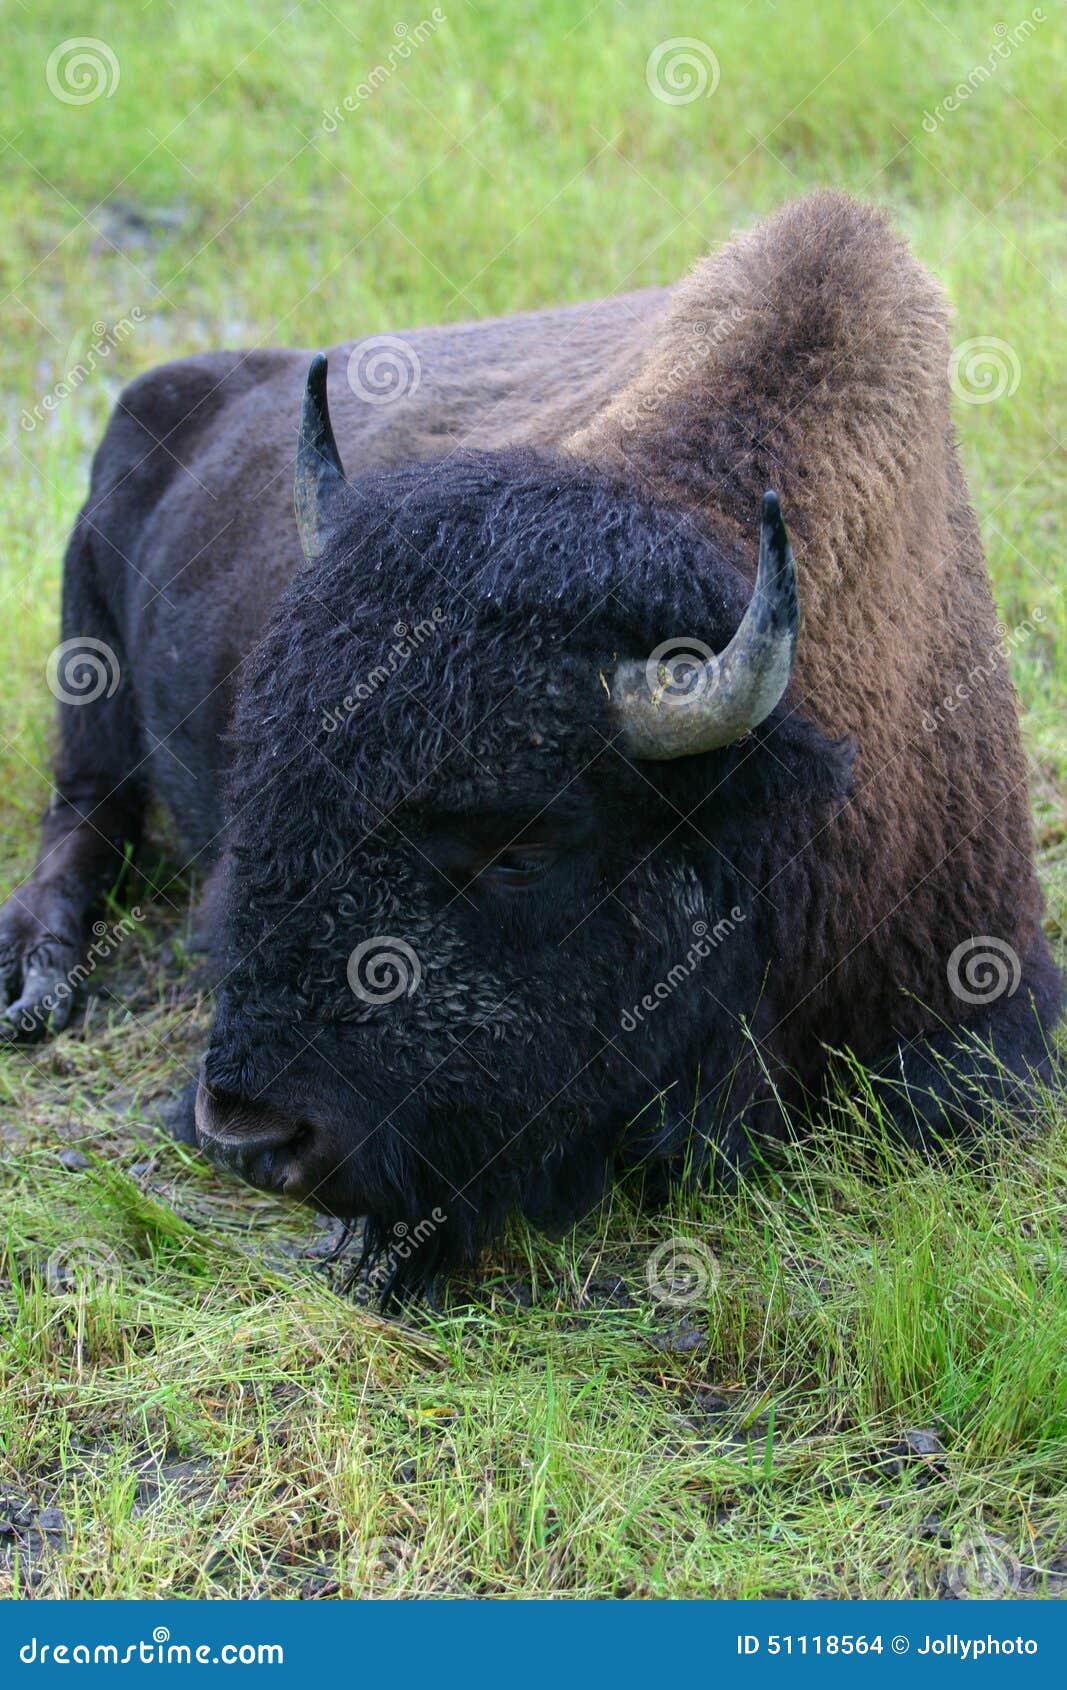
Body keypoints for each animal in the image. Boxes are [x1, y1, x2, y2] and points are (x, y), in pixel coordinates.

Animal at [1, 194, 1060, 1294]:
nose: (250, 1134)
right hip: (87, 657)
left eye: (520, 852)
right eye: (266, 784)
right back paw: (38, 984)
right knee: (83, 819)